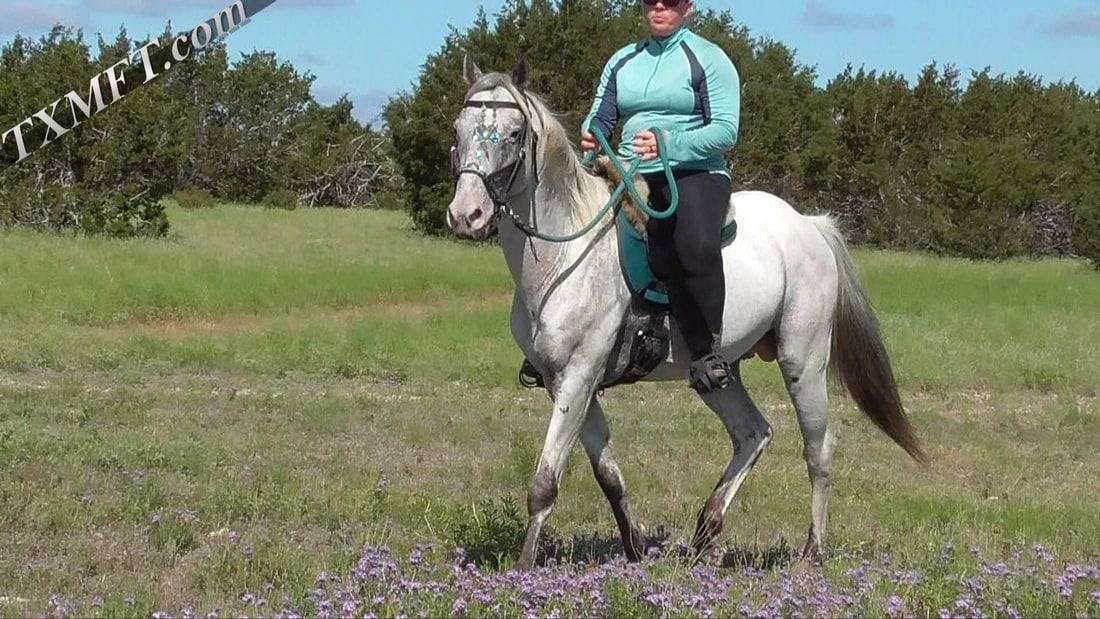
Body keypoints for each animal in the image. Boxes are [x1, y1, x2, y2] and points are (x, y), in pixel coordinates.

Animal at [445, 58, 927, 570]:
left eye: (515, 132)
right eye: (459, 128)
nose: (467, 214)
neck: (567, 253)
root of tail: (809, 225)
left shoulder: (578, 376)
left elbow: (544, 482)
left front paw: (522, 570)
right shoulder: (567, 383)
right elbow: (608, 475)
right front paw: (636, 550)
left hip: (804, 362)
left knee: (818, 450)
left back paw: (811, 552)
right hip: (719, 371)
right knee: (753, 433)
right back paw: (705, 534)